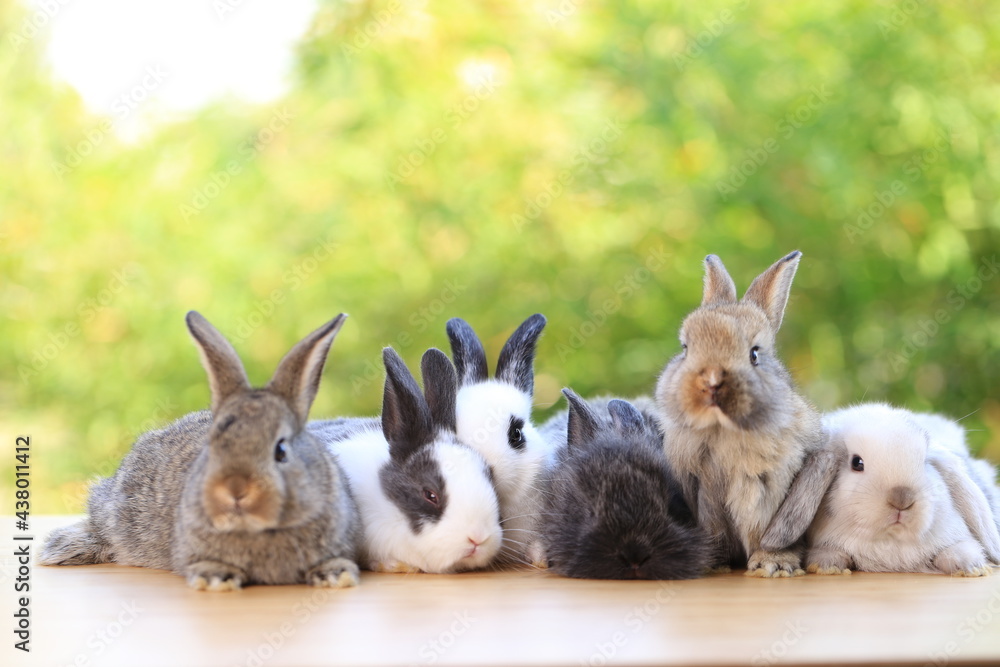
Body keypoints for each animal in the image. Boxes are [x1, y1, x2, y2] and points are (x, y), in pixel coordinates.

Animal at [653, 250, 825, 577]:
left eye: (754, 354)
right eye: (685, 348)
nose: (710, 381)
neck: (723, 429)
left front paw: (774, 565)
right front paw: (712, 564)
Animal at [800, 403, 998, 576]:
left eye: (925, 462)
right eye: (857, 463)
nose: (902, 499)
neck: (890, 541)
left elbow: (958, 548)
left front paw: (971, 567)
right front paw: (827, 565)